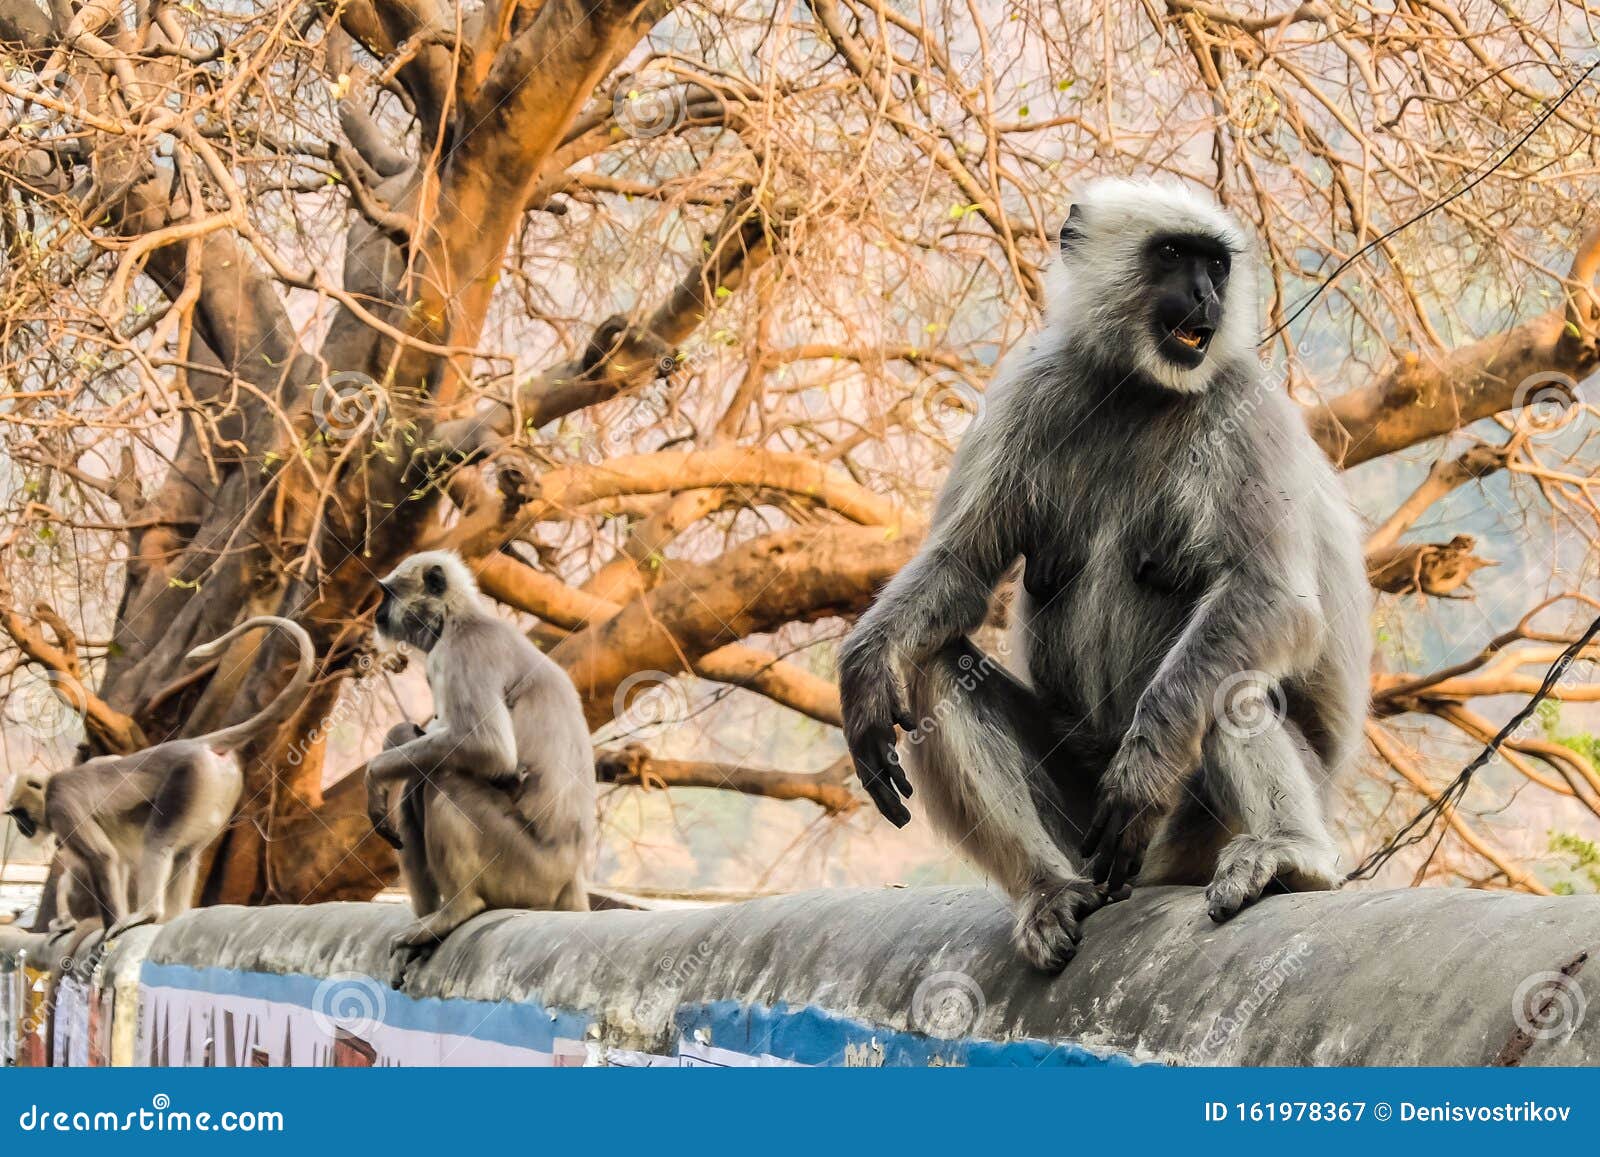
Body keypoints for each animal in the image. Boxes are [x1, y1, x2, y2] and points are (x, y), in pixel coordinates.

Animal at [4, 616, 315, 937]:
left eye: (19, 814)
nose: (23, 828)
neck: (52, 783)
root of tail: (197, 744)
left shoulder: (60, 805)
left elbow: (103, 857)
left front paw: (111, 925)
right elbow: (119, 859)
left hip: (189, 776)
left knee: (157, 840)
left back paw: (149, 913)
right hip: (216, 784)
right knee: (186, 854)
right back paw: (171, 918)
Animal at [364, 550, 596, 972]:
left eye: (386, 595)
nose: (376, 613)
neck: (459, 618)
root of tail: (571, 875)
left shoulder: (461, 650)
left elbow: (489, 750)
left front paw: (375, 773)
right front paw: (398, 737)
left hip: (525, 869)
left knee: (443, 778)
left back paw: (457, 910)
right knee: (420, 781)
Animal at [838, 178, 1370, 972]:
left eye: (1217, 263)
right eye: (1175, 255)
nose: (1208, 296)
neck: (1139, 389)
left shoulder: (1241, 398)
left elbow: (1270, 595)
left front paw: (1144, 765)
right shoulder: (1033, 386)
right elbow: (960, 568)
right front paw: (865, 668)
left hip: (1183, 829)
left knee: (1229, 672)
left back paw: (1290, 853)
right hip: (1084, 832)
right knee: (934, 665)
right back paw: (1047, 890)